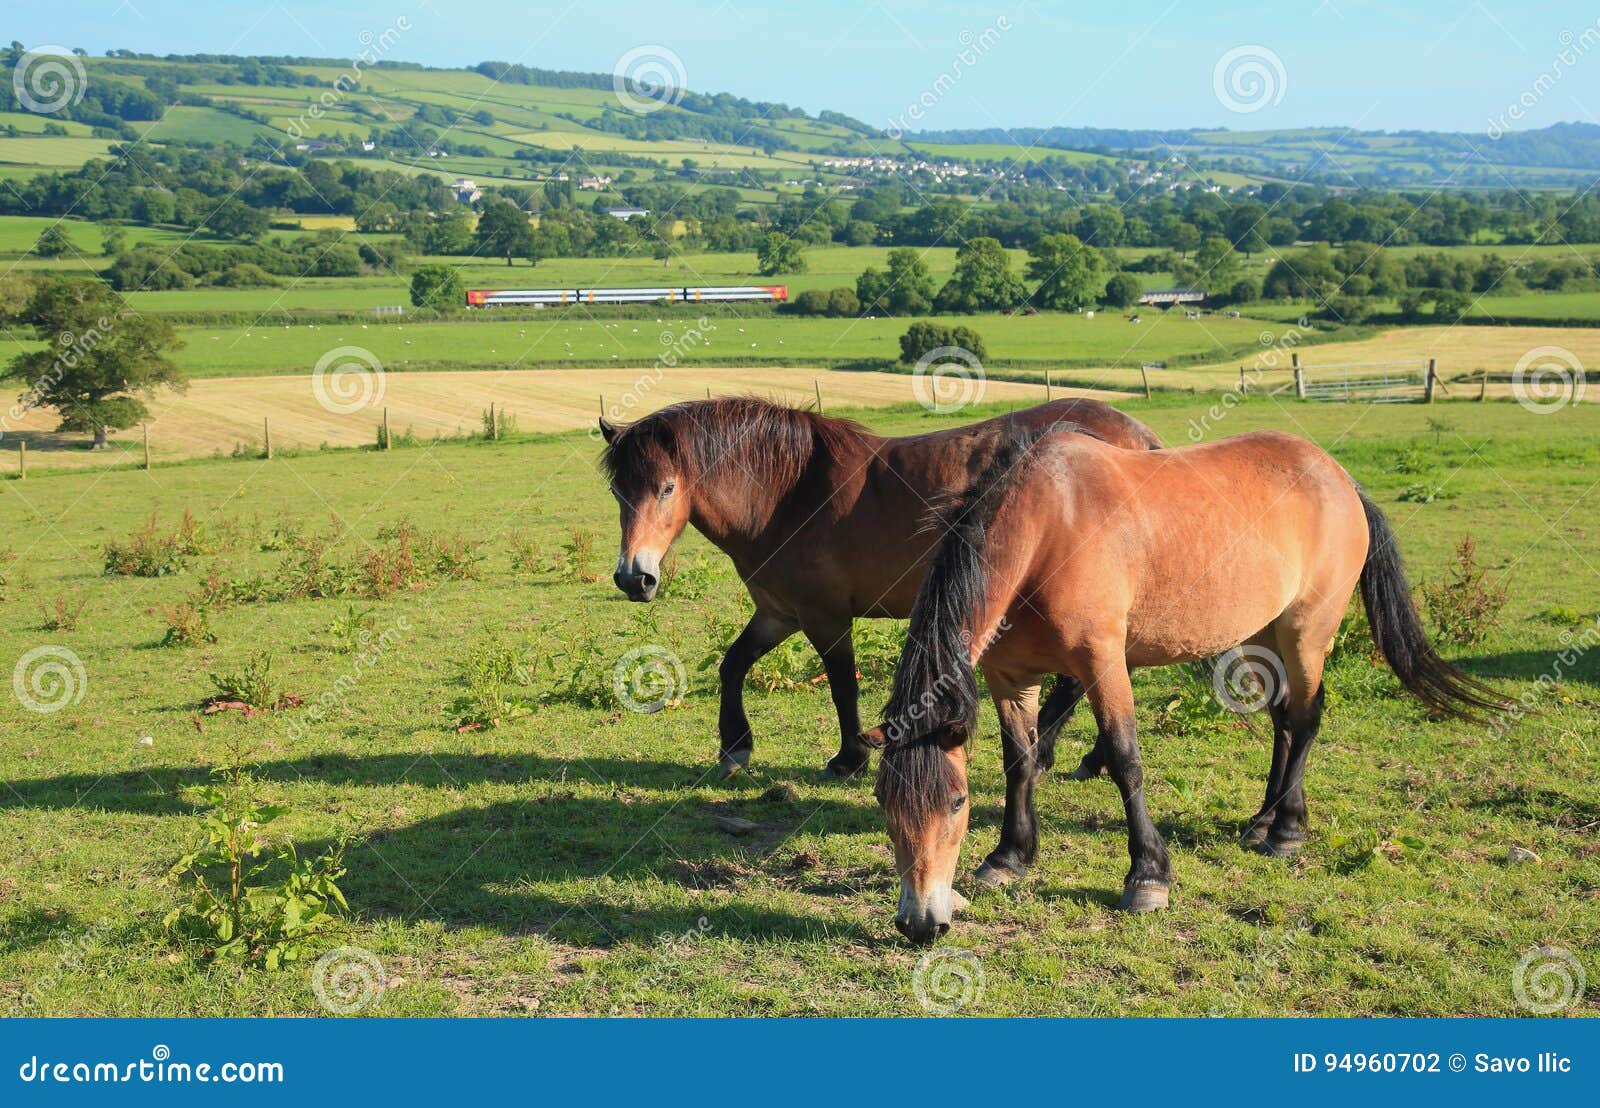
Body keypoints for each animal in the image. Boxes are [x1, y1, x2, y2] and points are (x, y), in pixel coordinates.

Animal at [598, 396, 1162, 779]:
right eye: (617, 492)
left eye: (667, 488)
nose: (633, 576)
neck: (787, 493)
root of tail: (1139, 438)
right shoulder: (779, 614)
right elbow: (733, 665)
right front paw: (735, 746)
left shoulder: (824, 617)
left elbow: (842, 685)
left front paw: (848, 758)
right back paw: (1083, 757)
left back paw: (1051, 752)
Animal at [863, 425, 1509, 945]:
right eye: (885, 802)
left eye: (955, 802)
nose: (920, 923)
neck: (1047, 529)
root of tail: (1338, 476)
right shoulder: (1008, 677)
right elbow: (1020, 761)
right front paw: (1009, 857)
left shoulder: (1102, 663)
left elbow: (1125, 760)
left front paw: (1148, 877)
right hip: (1262, 631)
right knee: (1283, 720)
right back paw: (1262, 819)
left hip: (1306, 632)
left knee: (1305, 719)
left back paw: (1286, 831)